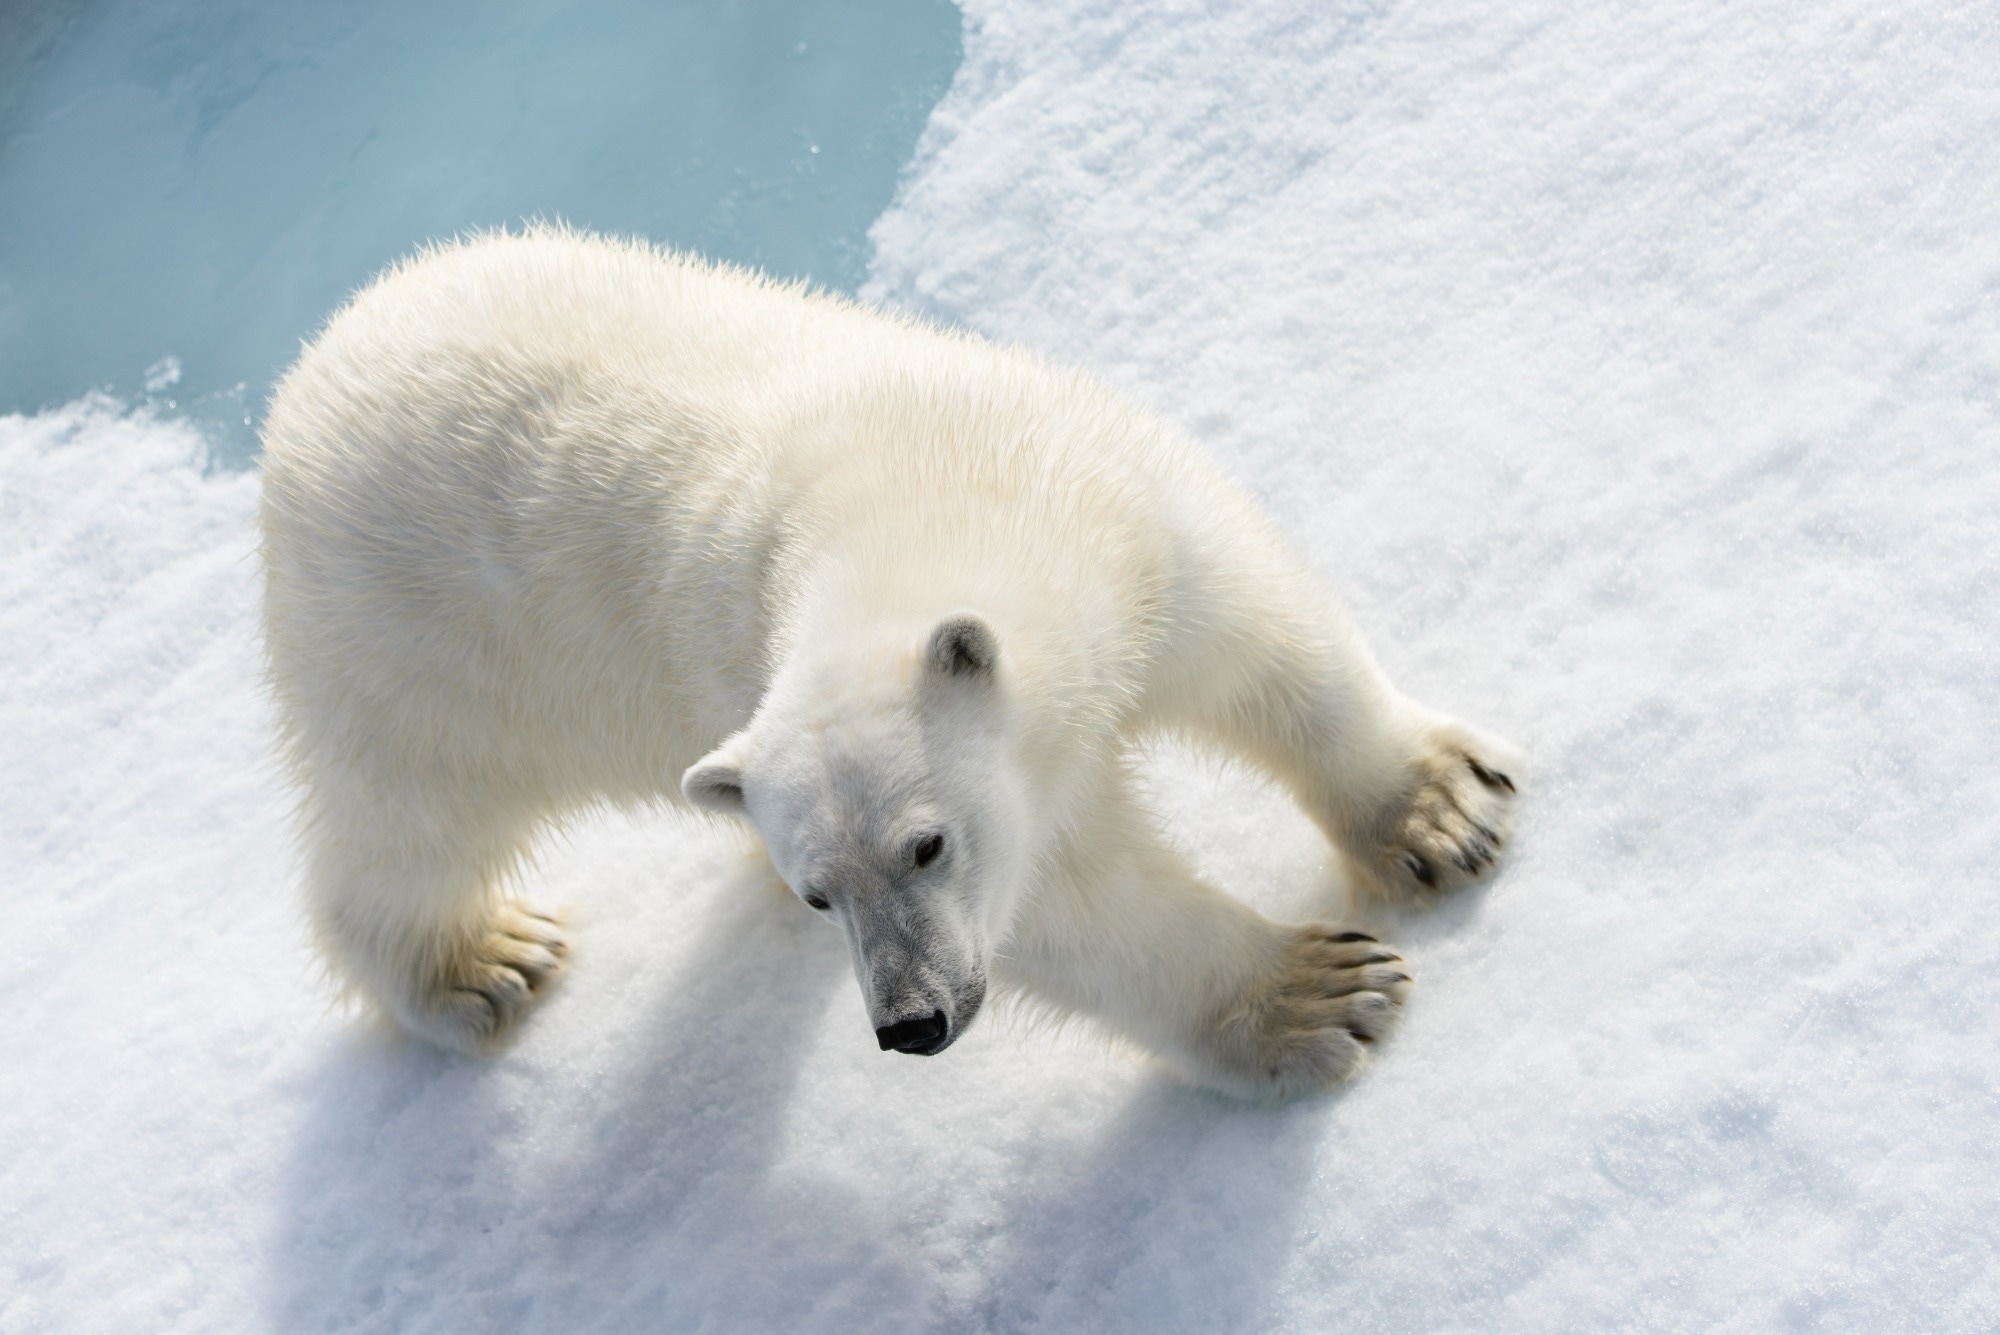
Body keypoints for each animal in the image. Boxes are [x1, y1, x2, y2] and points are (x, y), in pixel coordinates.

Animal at [262, 229, 1512, 1103]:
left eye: (925, 844)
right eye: (823, 891)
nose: (910, 1022)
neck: (922, 497)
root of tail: (317, 363)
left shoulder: (1133, 534)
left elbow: (1264, 648)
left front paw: (1443, 814)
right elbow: (1079, 907)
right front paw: (1322, 999)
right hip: (416, 647)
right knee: (407, 821)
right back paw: (484, 962)